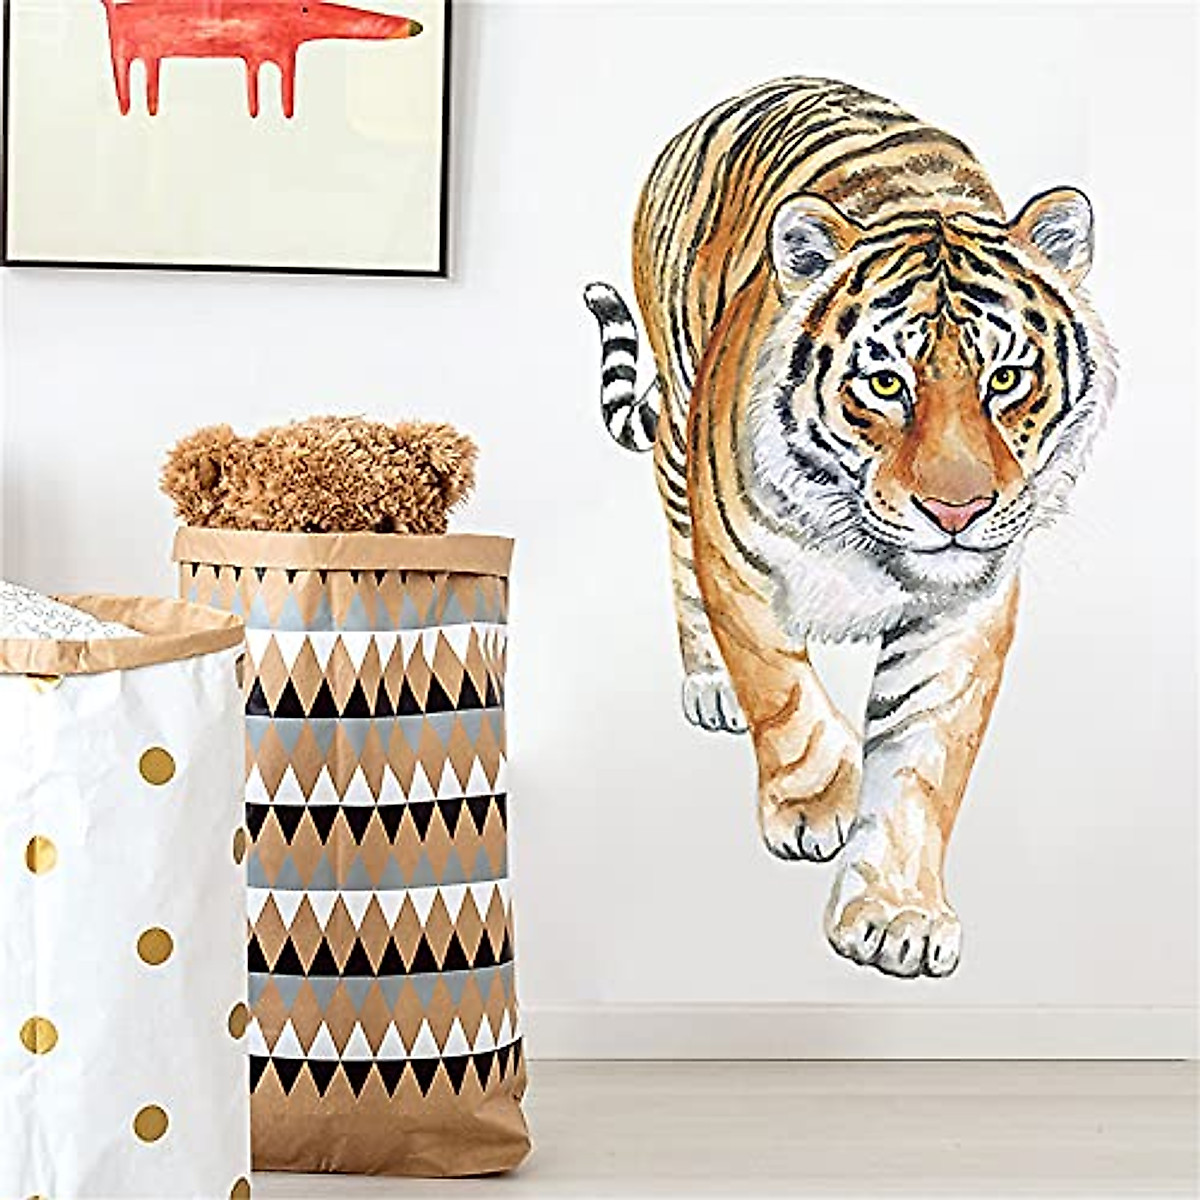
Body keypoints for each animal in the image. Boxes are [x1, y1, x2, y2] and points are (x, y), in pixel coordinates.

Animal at [583, 77, 1115, 979]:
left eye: (1007, 379)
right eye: (886, 383)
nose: (957, 510)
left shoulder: (965, 609)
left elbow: (921, 759)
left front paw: (898, 914)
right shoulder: (738, 562)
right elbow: (783, 692)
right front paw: (814, 802)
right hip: (680, 429)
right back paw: (710, 685)